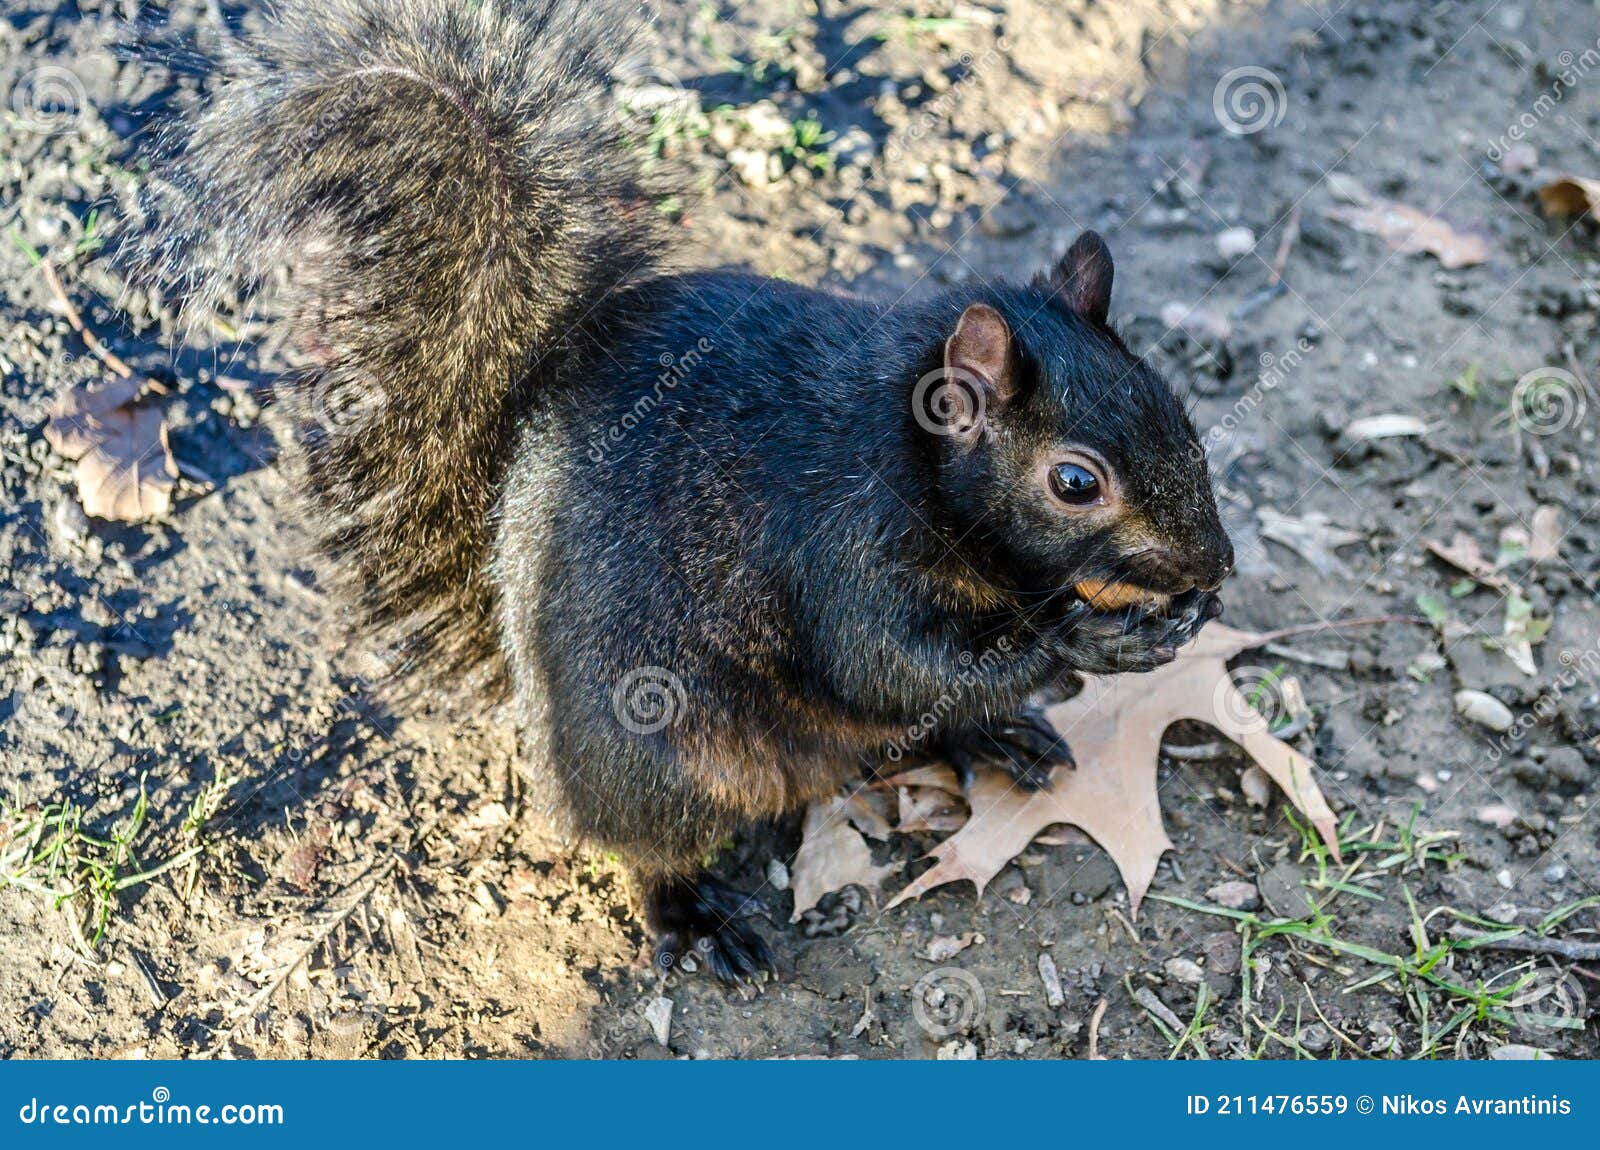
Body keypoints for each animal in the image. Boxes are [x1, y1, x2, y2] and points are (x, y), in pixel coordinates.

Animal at [143, 0, 1234, 983]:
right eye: (1075, 481)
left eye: (1175, 404)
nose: (1216, 565)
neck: (917, 457)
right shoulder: (846, 544)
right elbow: (887, 659)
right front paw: (1088, 640)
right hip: (652, 758)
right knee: (653, 845)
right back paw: (697, 916)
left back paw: (995, 731)